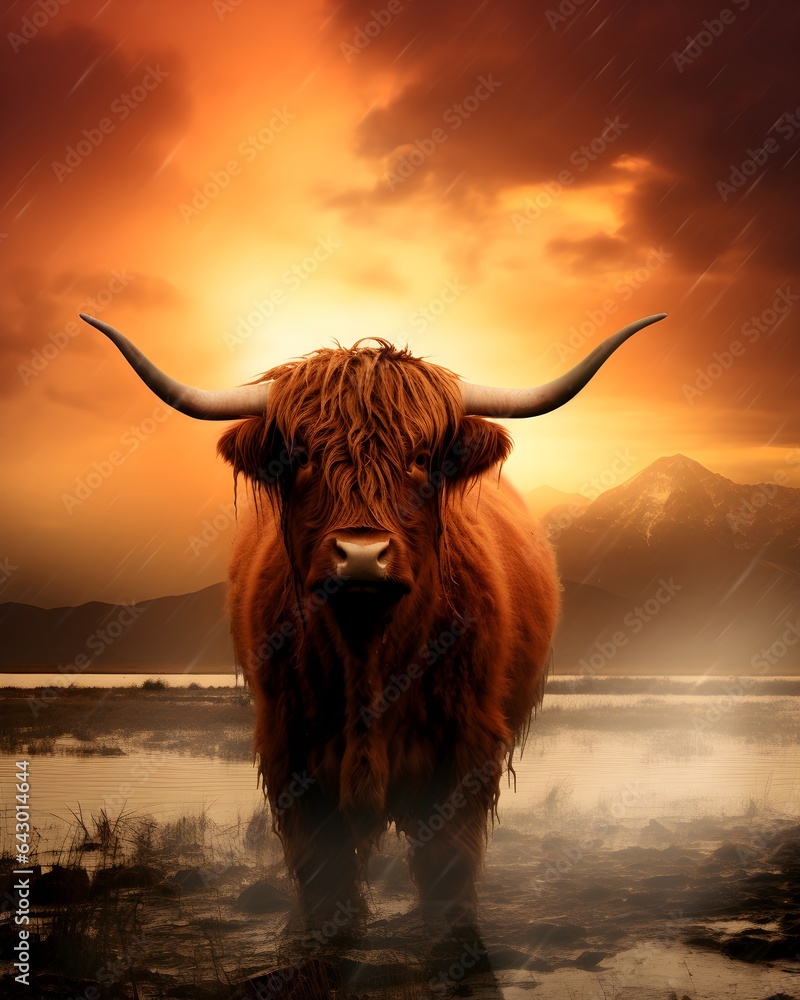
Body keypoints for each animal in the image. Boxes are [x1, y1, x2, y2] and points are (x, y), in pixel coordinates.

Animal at [80, 310, 665, 931]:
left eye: (421, 458)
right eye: (302, 457)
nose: (361, 556)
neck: (366, 656)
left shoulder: (464, 754)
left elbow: (446, 872)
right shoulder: (293, 757)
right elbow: (326, 880)